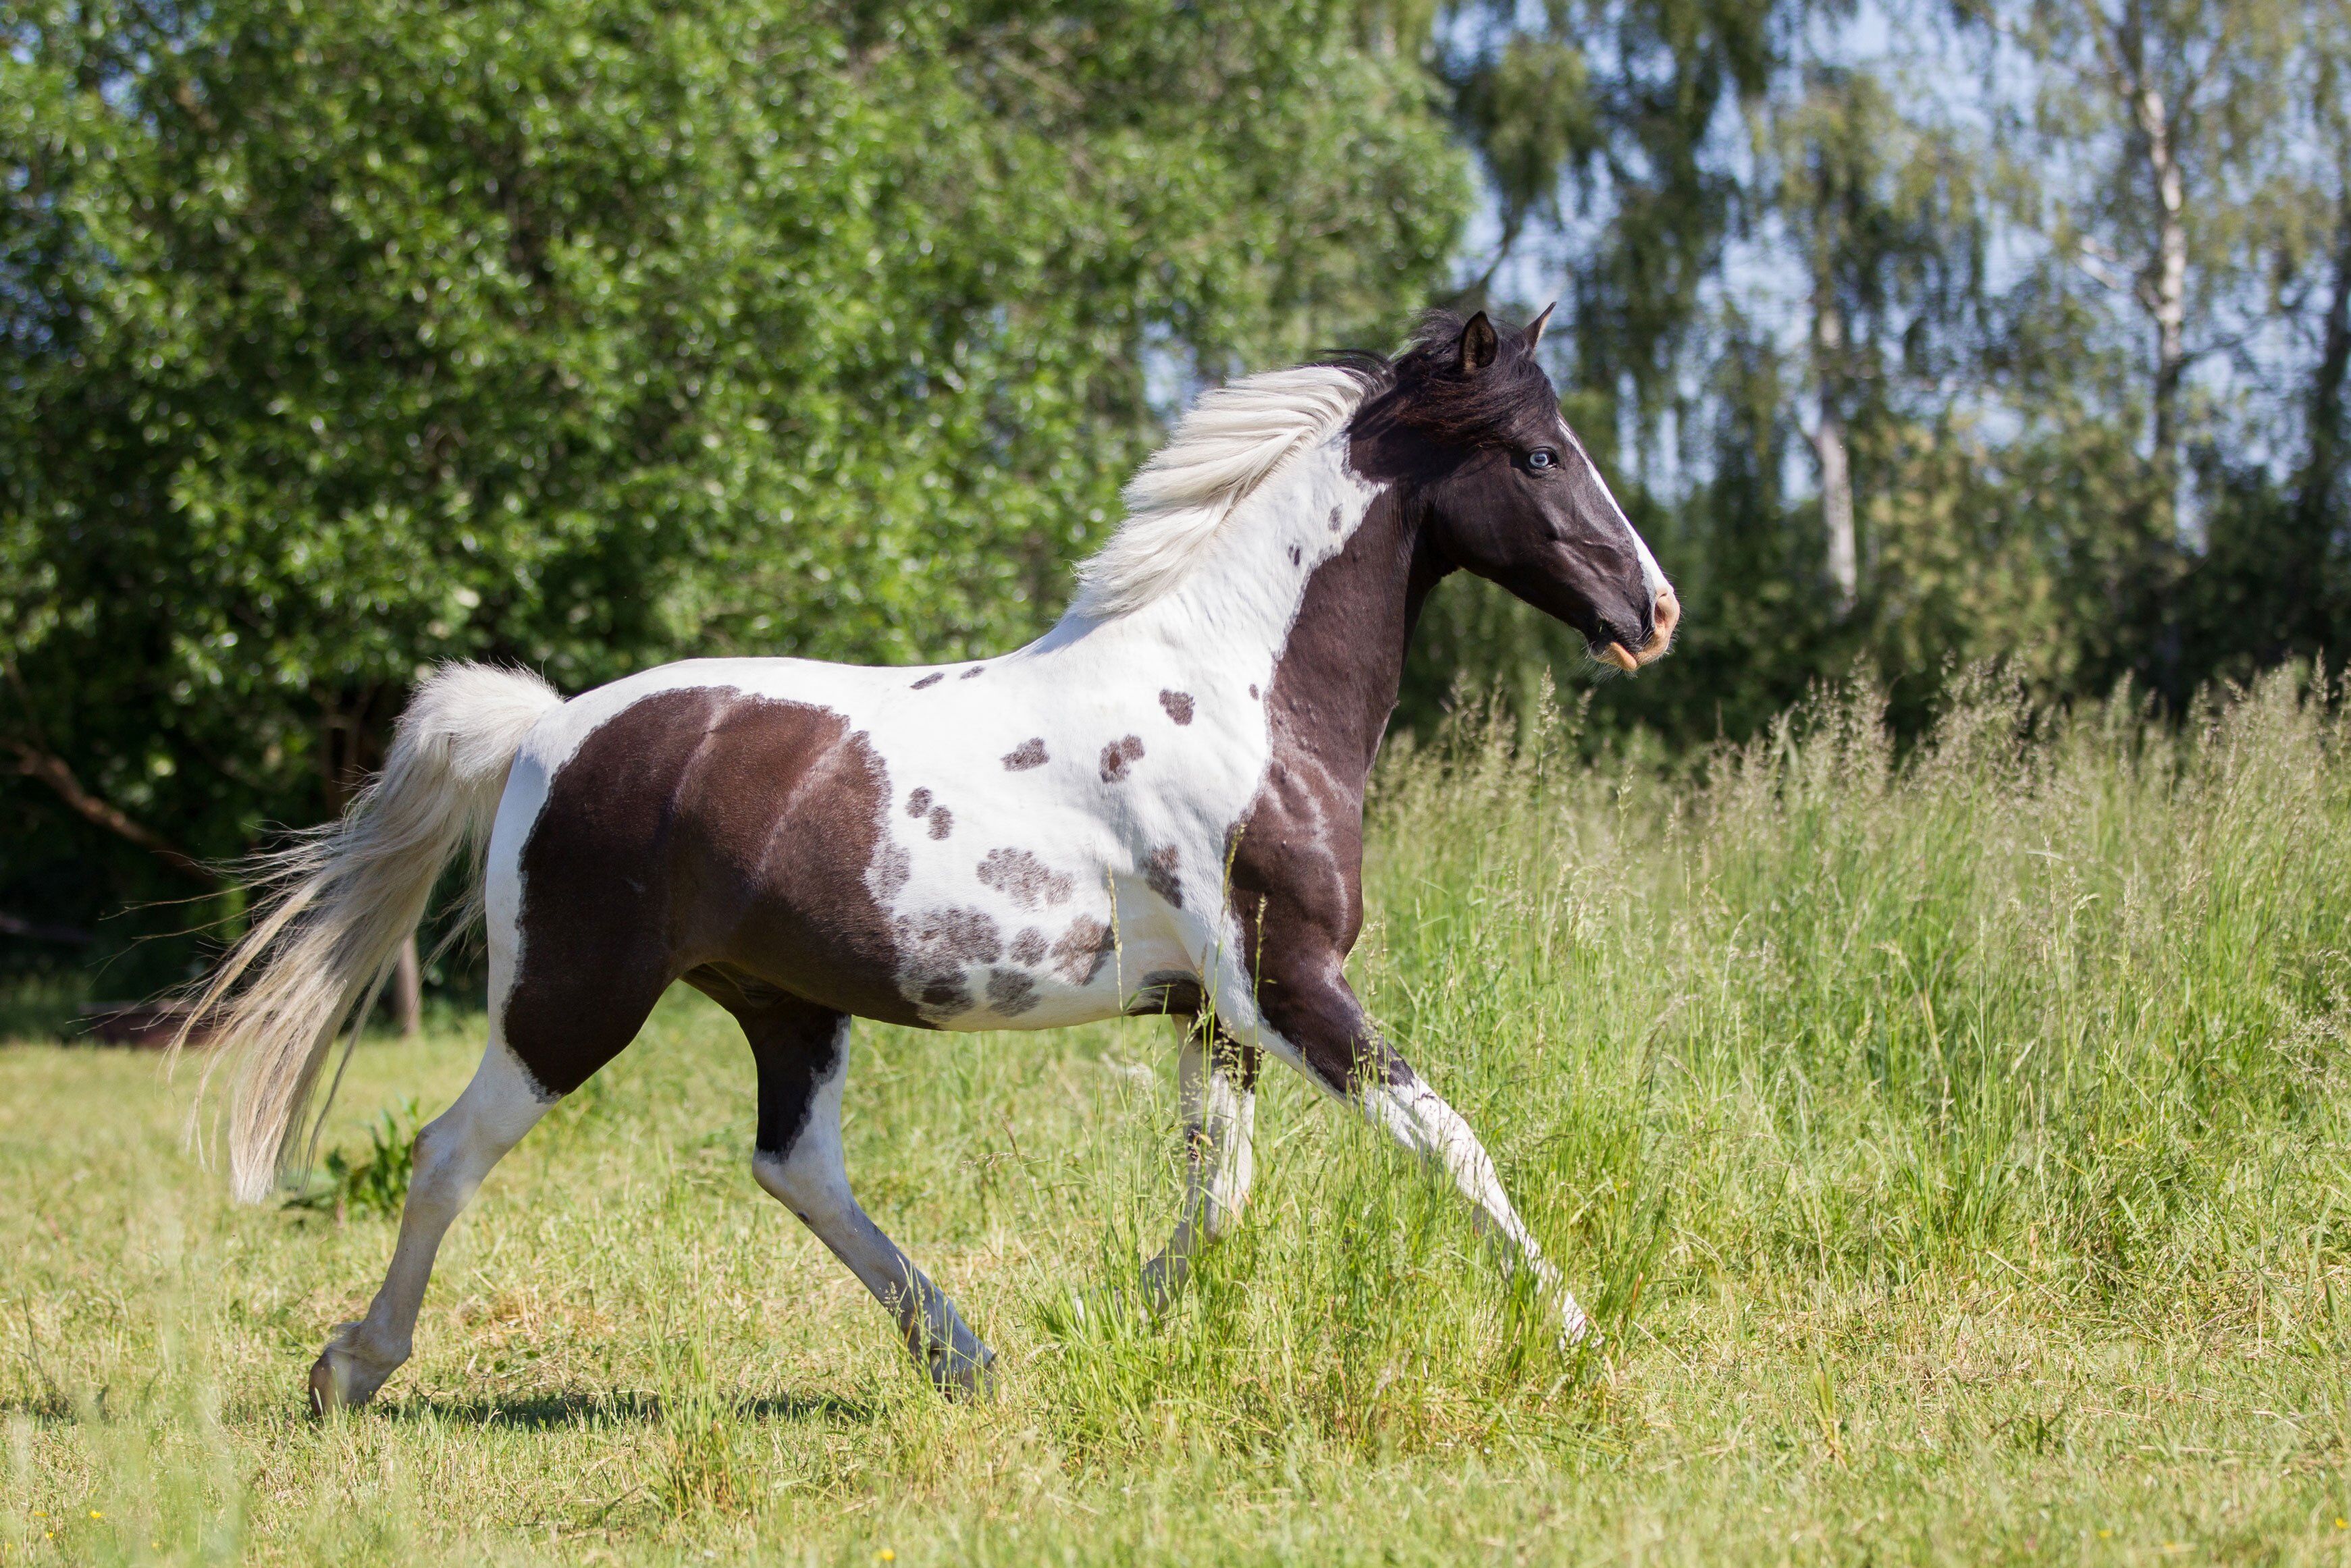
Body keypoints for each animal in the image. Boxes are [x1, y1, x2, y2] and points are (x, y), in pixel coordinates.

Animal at [184, 307, 1678, 1411]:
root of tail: (547, 728)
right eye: (1540, 455)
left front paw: (1110, 1312)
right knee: (451, 1152)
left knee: (795, 1167)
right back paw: (349, 1368)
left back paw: (966, 1355)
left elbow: (1223, 1195)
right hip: (572, 1000)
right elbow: (1452, 1141)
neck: (1237, 693)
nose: (1651, 610)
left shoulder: (1215, 1010)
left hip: (786, 1002)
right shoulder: (1289, 986)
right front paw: (1578, 1334)